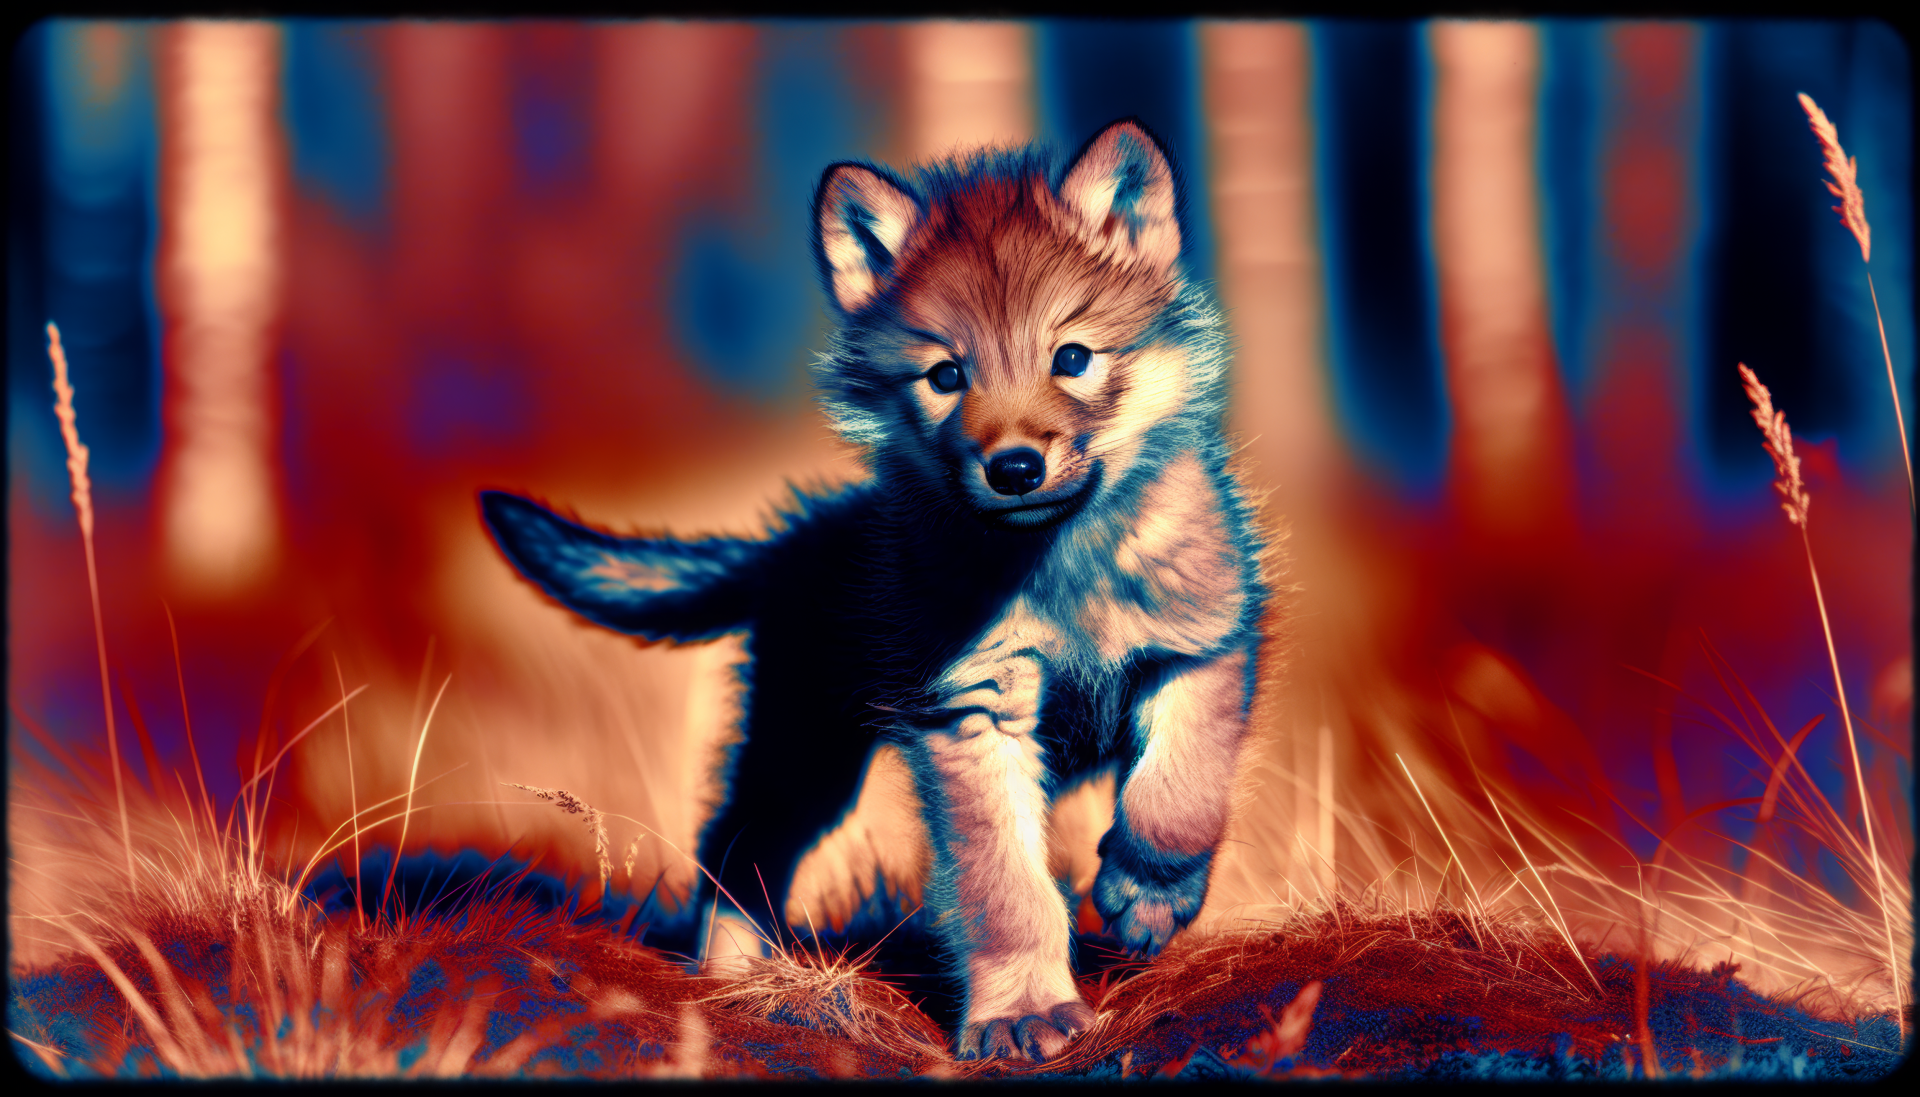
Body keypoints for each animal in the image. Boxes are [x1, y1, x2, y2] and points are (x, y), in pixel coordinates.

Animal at [480, 119, 1270, 1062]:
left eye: (1072, 359)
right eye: (946, 376)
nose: (1013, 467)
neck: (1054, 565)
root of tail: (796, 538)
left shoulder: (1202, 646)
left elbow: (1178, 797)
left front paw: (1148, 895)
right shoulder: (970, 709)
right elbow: (1003, 889)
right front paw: (1023, 1011)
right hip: (805, 750)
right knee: (739, 844)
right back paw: (738, 981)